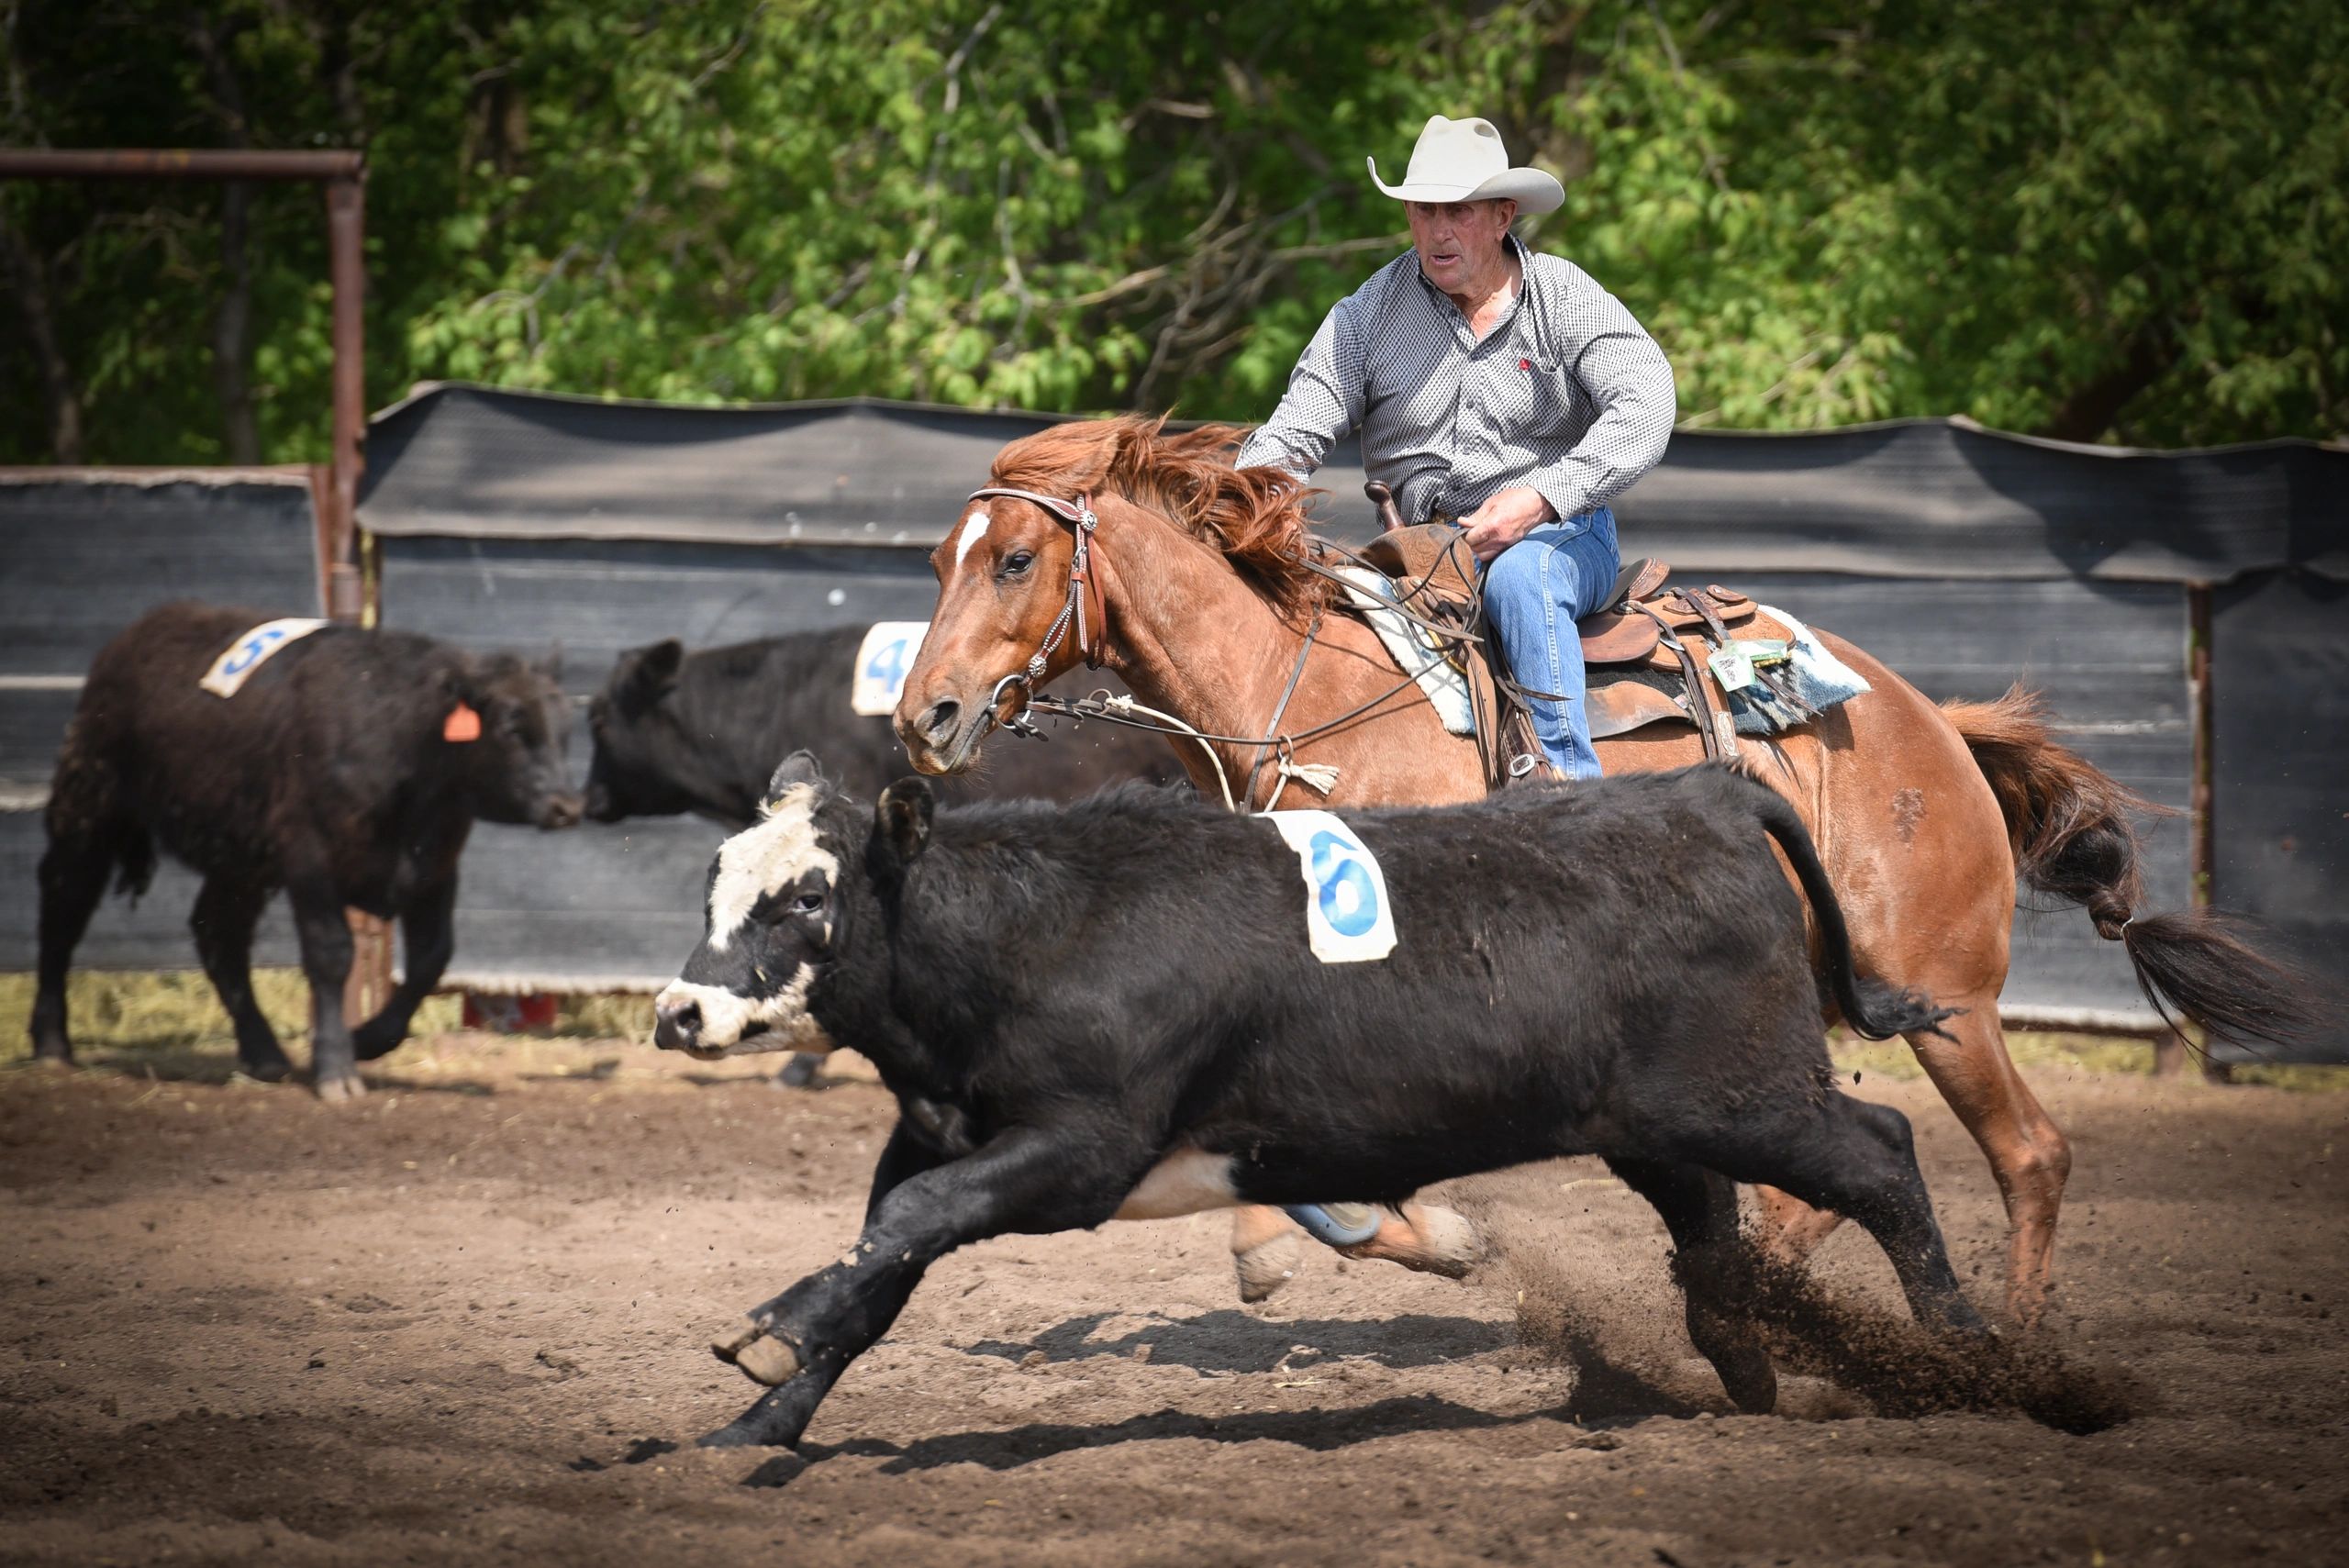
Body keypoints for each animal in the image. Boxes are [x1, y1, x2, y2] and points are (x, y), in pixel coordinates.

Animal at [28, 601, 583, 1101]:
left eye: (565, 731)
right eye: (512, 728)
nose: (567, 806)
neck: (400, 739)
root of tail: (136, 635)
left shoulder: (435, 869)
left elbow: (431, 958)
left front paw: (368, 1040)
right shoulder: (310, 859)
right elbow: (332, 954)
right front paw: (336, 1068)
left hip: (241, 861)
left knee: (218, 934)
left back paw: (264, 1052)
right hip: (89, 806)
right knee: (63, 908)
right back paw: (52, 1043)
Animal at [647, 752, 1982, 1450]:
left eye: (808, 895)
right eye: (715, 879)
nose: (679, 1011)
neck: (1029, 933)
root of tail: (1705, 790)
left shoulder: (1081, 1149)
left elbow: (909, 1228)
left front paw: (767, 1333)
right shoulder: (939, 1137)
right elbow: (882, 1254)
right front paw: (756, 1424)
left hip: (1752, 1093)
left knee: (1881, 1151)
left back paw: (1975, 1362)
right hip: (1650, 1118)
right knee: (1708, 1217)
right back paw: (1746, 1373)